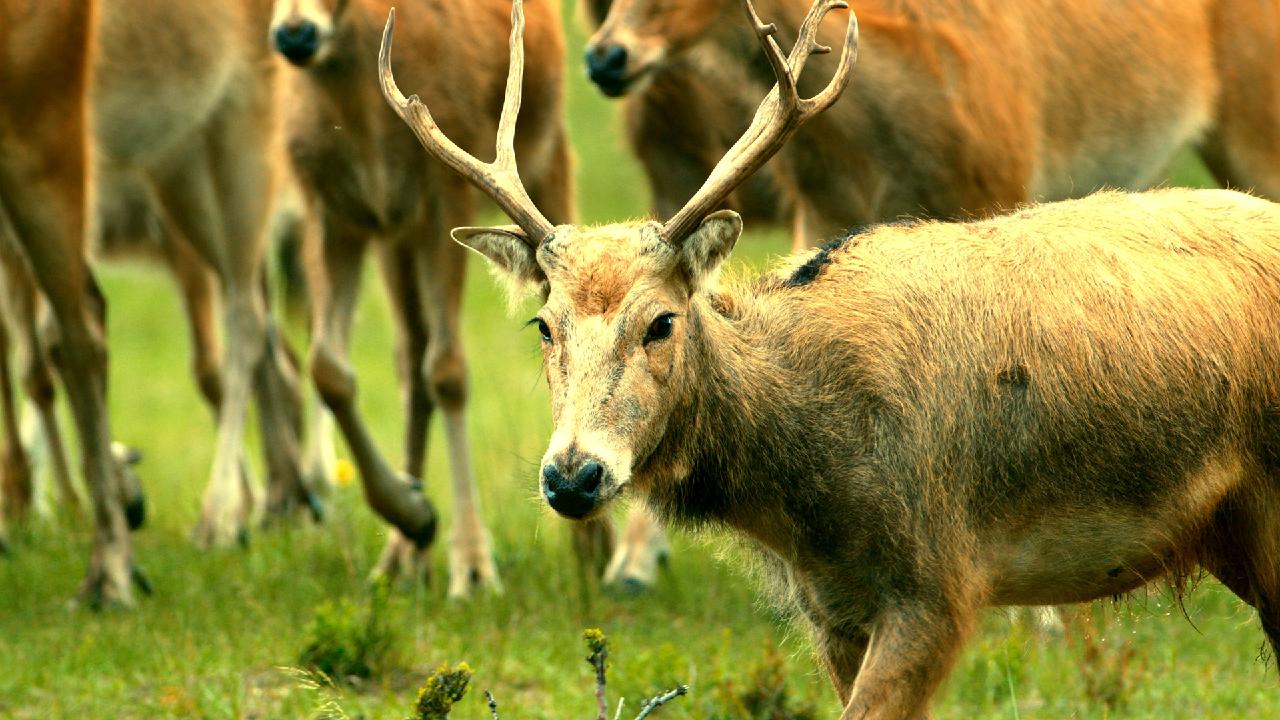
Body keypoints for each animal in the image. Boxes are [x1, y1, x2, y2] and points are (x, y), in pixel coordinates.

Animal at [268, 0, 611, 597]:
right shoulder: (331, 207)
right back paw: (400, 556)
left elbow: (449, 370)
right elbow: (328, 367)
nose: (294, 34)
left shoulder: (441, 195)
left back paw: (599, 549)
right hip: (395, 241)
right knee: (409, 356)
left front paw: (473, 566)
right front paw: (414, 514)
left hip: (550, 157)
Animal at [382, 0, 1280, 715]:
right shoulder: (833, 611)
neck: (815, 487)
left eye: (661, 321)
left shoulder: (938, 579)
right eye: (544, 324)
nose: (573, 475)